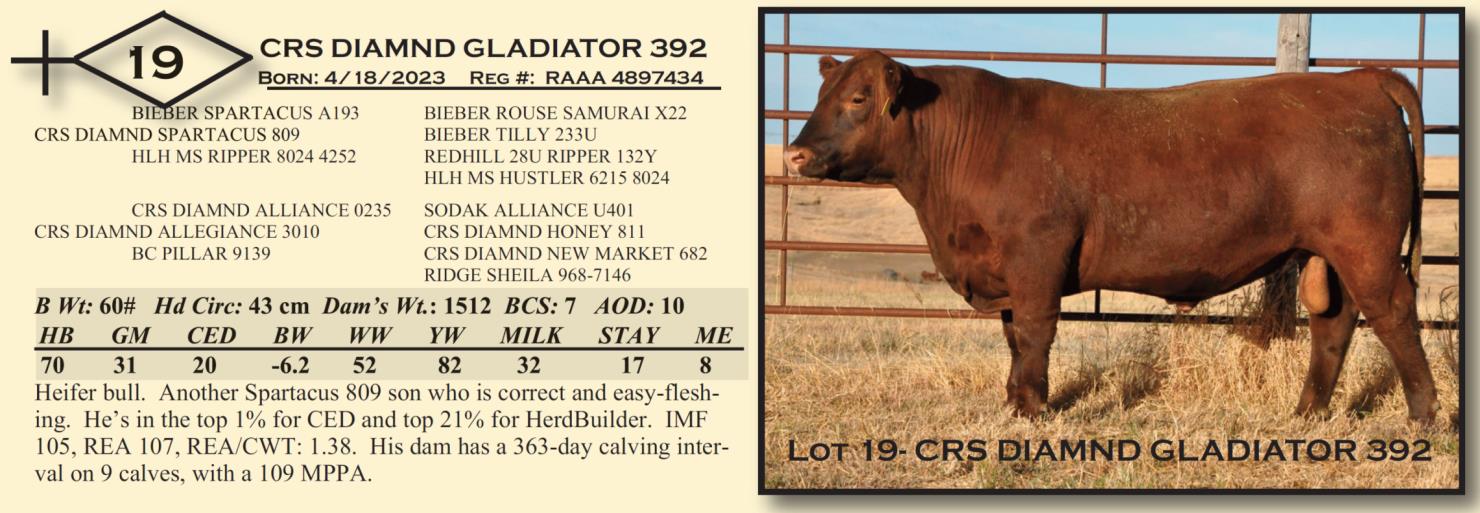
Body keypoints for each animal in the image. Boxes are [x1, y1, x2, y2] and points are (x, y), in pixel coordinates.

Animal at [784, 51, 1435, 422]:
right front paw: (1014, 403)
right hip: (1331, 251)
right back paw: (1306, 414)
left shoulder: (1037, 255)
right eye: (819, 95)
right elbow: (1013, 336)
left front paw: (1032, 410)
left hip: (1365, 245)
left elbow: (1035, 332)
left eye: (858, 98)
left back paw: (1423, 416)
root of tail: (1360, 79)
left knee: (1394, 311)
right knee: (1336, 321)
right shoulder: (1005, 269)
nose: (794, 154)